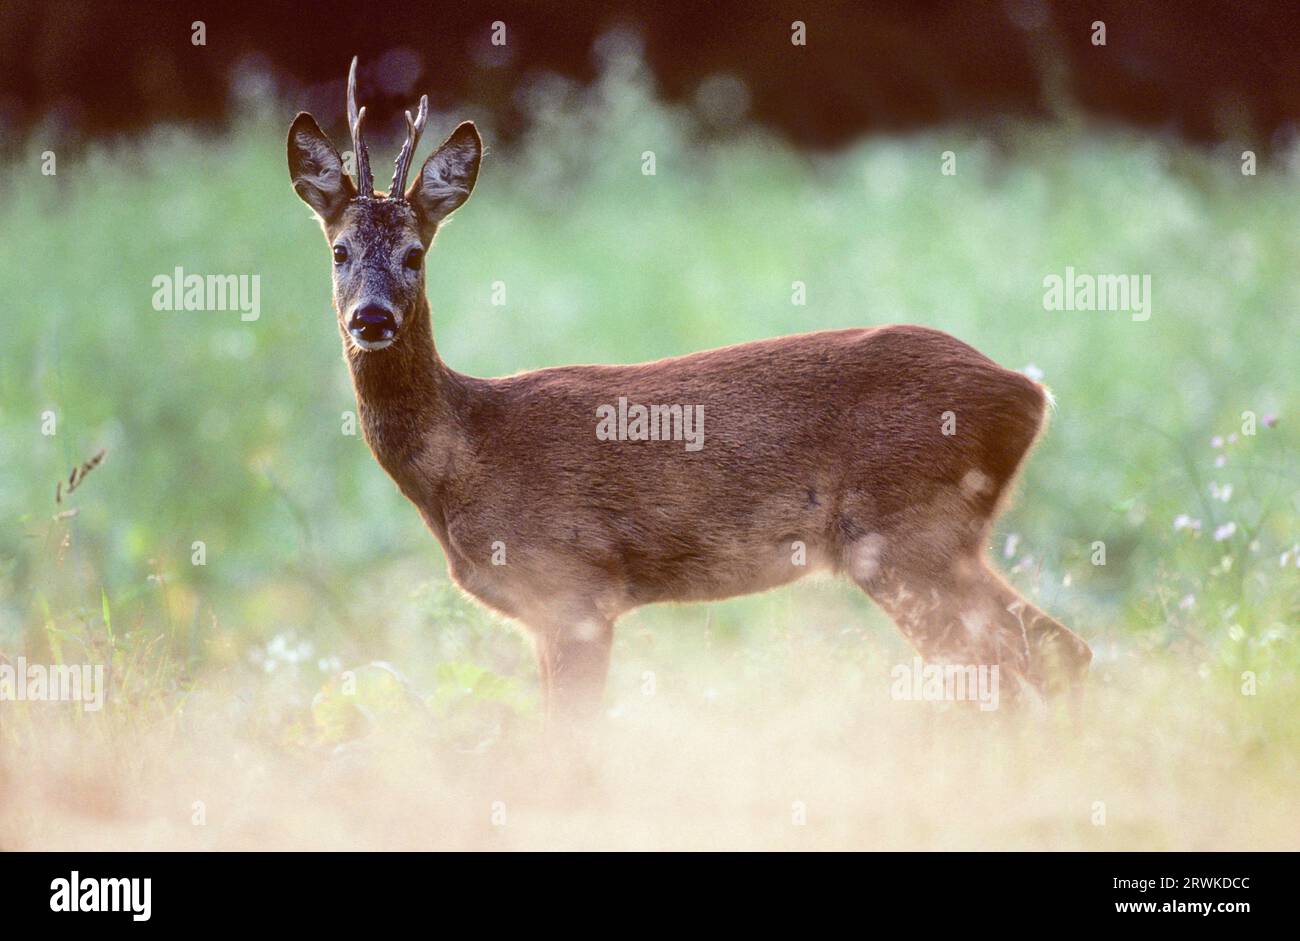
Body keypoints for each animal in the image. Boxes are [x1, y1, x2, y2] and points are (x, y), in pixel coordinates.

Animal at [286, 59, 1092, 724]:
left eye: (415, 254)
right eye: (340, 250)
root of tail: (1028, 392)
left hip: (910, 534)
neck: (466, 455)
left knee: (1034, 655)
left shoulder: (576, 586)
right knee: (1040, 655)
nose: (371, 318)